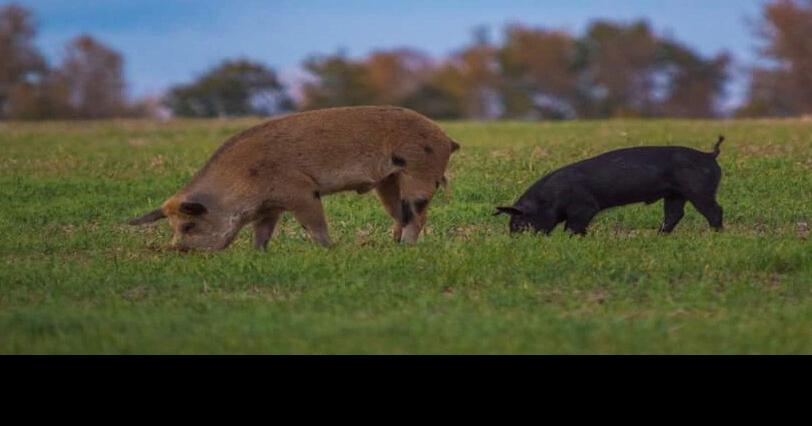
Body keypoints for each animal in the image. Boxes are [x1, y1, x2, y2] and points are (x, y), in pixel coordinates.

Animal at [128, 106, 460, 250]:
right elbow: (262, 231)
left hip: (419, 172)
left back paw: (405, 247)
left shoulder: (301, 191)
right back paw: (391, 244)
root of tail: (446, 138)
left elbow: (314, 223)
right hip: (389, 182)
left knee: (416, 216)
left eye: (188, 225)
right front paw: (258, 253)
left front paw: (328, 249)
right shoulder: (270, 206)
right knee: (401, 214)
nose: (175, 250)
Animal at [495, 136, 725, 235]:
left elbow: (574, 225)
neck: (549, 199)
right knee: (674, 213)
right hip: (675, 194)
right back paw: (659, 235)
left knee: (715, 210)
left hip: (699, 190)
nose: (514, 239)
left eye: (519, 223)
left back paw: (716, 234)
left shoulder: (585, 206)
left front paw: (571, 237)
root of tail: (709, 155)